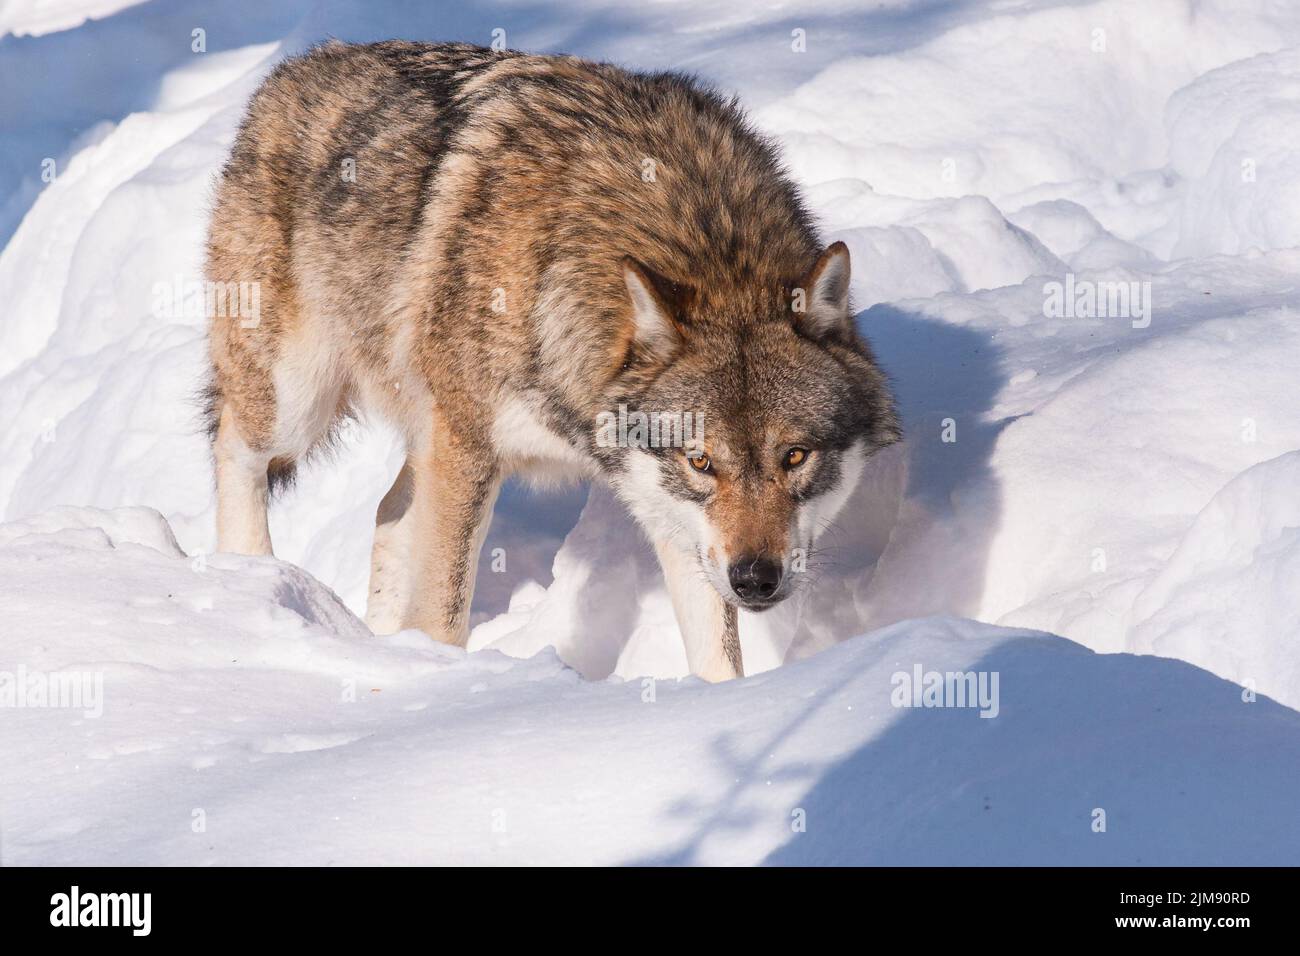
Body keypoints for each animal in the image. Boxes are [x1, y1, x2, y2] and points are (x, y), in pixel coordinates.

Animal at [204, 40, 899, 682]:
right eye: (701, 461)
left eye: (795, 457)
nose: (755, 578)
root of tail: (294, 68)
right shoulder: (466, 449)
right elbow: (443, 613)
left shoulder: (669, 514)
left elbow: (717, 654)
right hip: (298, 403)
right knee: (235, 447)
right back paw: (252, 580)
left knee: (388, 512)